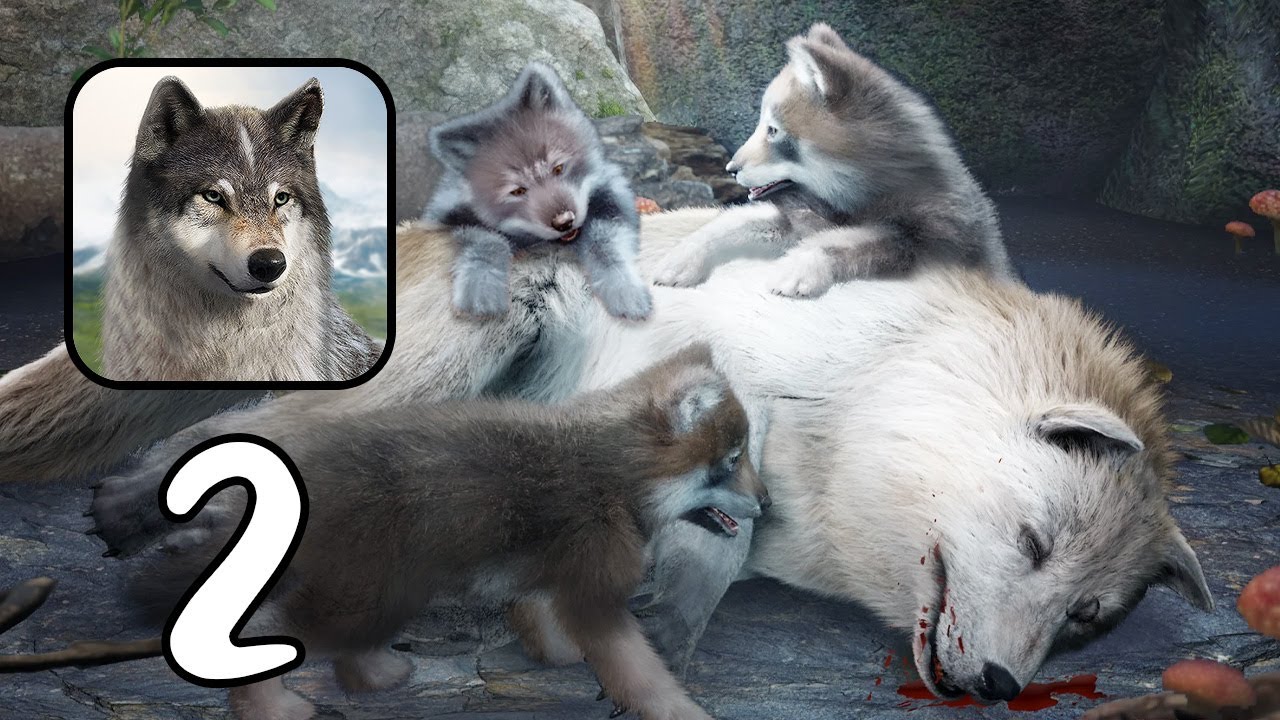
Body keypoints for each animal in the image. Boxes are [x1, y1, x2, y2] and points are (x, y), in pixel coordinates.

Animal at [88, 345, 764, 720]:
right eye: (732, 460)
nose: (766, 502)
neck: (617, 470)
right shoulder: (597, 592)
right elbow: (642, 674)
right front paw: (683, 711)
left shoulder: (551, 576)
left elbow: (541, 618)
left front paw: (556, 653)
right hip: (372, 590)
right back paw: (276, 708)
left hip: (383, 587)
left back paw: (378, 674)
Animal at [425, 62, 652, 320]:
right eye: (518, 191)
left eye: (559, 168)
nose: (564, 221)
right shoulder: (450, 218)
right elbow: (485, 241)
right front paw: (480, 289)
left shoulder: (610, 199)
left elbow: (604, 245)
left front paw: (626, 291)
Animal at [652, 24, 1012, 298]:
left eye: (773, 130)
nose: (730, 169)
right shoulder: (796, 223)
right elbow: (735, 223)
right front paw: (682, 257)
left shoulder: (927, 242)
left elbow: (852, 240)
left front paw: (797, 269)